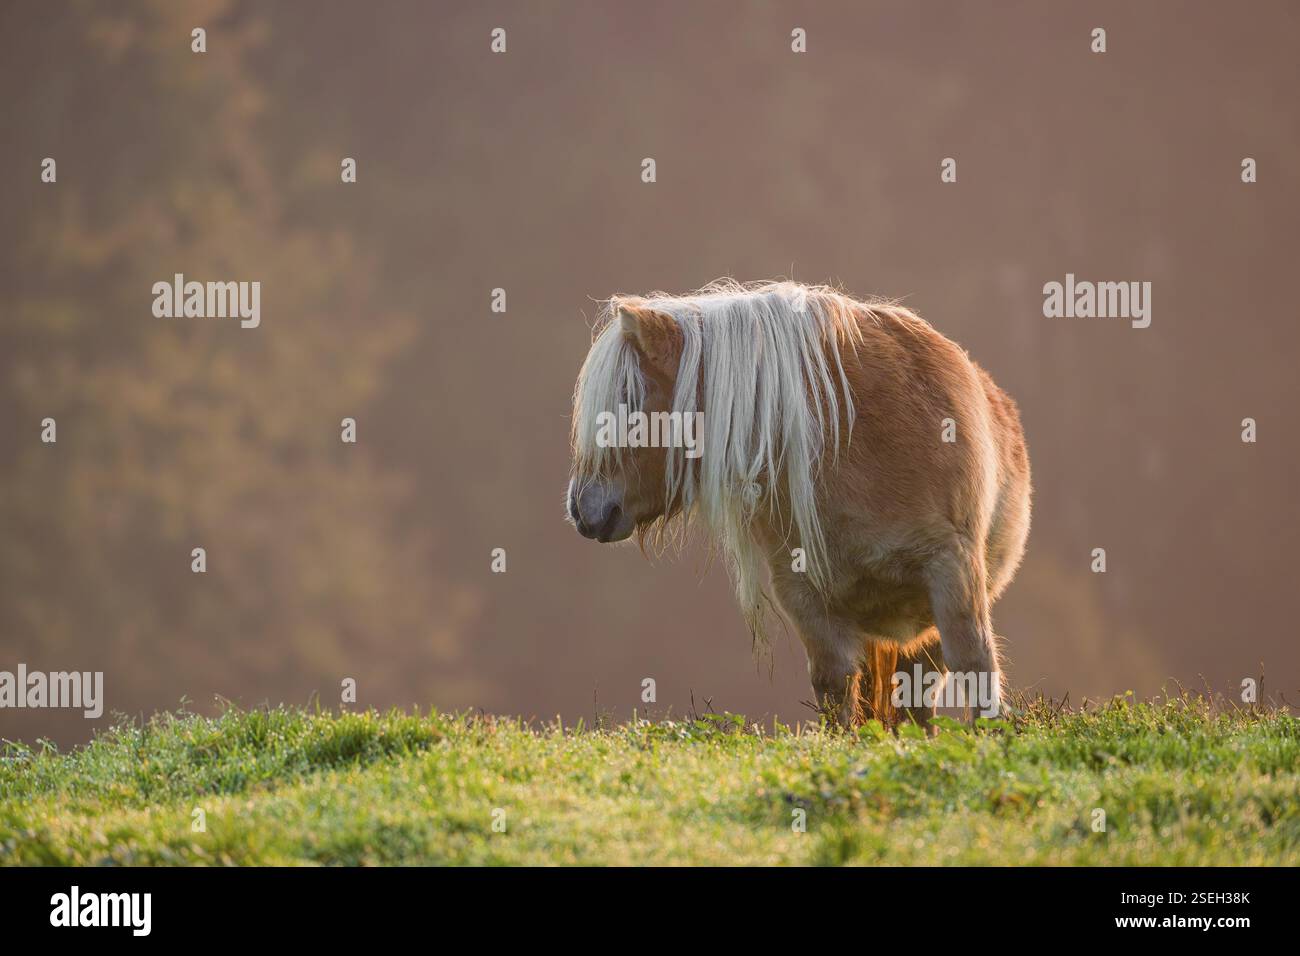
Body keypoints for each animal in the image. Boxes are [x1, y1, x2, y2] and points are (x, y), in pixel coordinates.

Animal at [566, 280, 1031, 729]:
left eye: (630, 400)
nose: (581, 509)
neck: (850, 442)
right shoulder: (805, 595)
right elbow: (835, 690)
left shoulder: (951, 571)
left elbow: (975, 666)